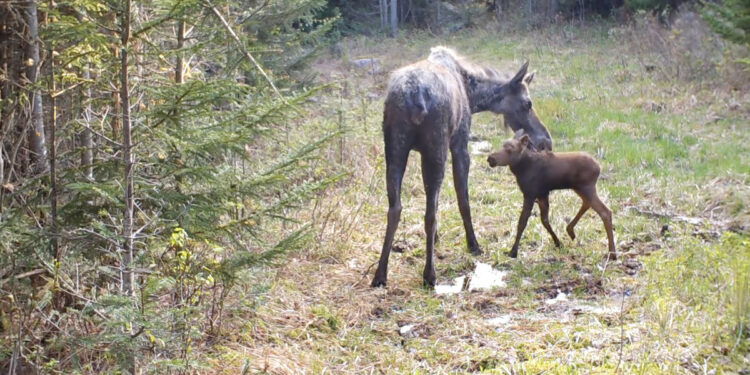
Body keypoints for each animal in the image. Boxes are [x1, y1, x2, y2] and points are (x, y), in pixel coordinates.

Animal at [374, 47, 536, 288]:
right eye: (527, 103)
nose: (542, 138)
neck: (473, 95)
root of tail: (413, 96)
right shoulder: (460, 143)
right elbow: (463, 200)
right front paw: (473, 244)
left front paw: (436, 239)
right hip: (437, 148)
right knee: (430, 215)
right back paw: (429, 274)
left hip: (395, 150)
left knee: (395, 209)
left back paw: (379, 274)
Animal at [488, 134, 616, 260]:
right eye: (502, 145)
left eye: (510, 149)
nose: (491, 158)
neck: (521, 169)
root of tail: (599, 167)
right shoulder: (542, 195)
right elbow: (544, 220)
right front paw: (558, 242)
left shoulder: (530, 194)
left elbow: (522, 223)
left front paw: (513, 252)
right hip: (580, 188)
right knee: (587, 204)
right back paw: (570, 230)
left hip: (586, 187)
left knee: (605, 212)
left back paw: (612, 253)